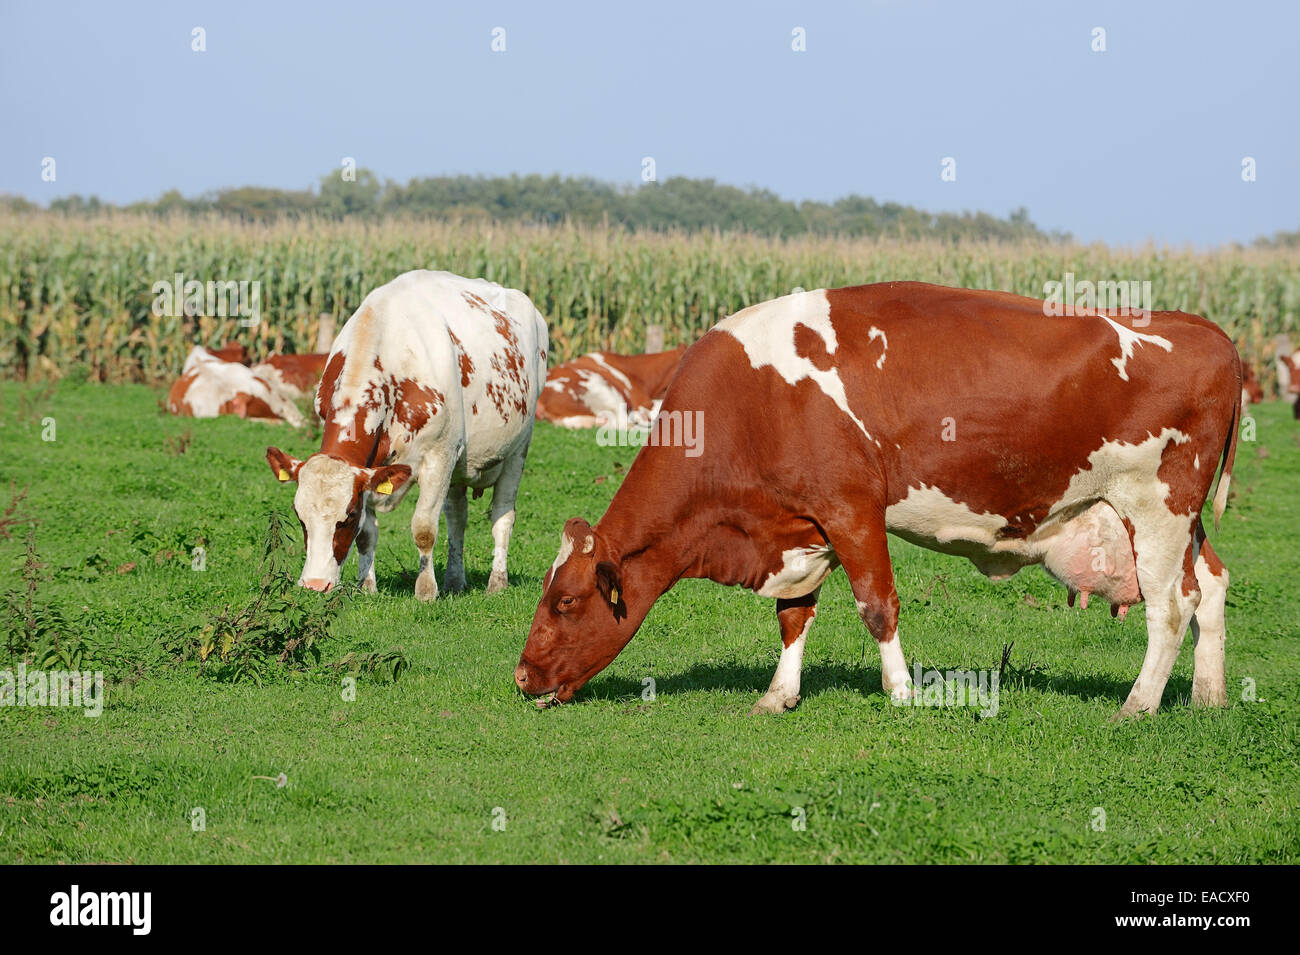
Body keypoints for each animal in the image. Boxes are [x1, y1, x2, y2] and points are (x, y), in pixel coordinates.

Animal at [266, 270, 548, 599]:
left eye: (347, 517)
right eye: (300, 517)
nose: (314, 585)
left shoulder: (439, 454)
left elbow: (424, 528)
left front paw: (425, 591)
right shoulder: (373, 467)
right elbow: (368, 534)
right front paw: (366, 586)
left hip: (517, 449)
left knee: (502, 516)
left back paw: (497, 582)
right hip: (460, 461)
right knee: (457, 516)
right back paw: (455, 579)